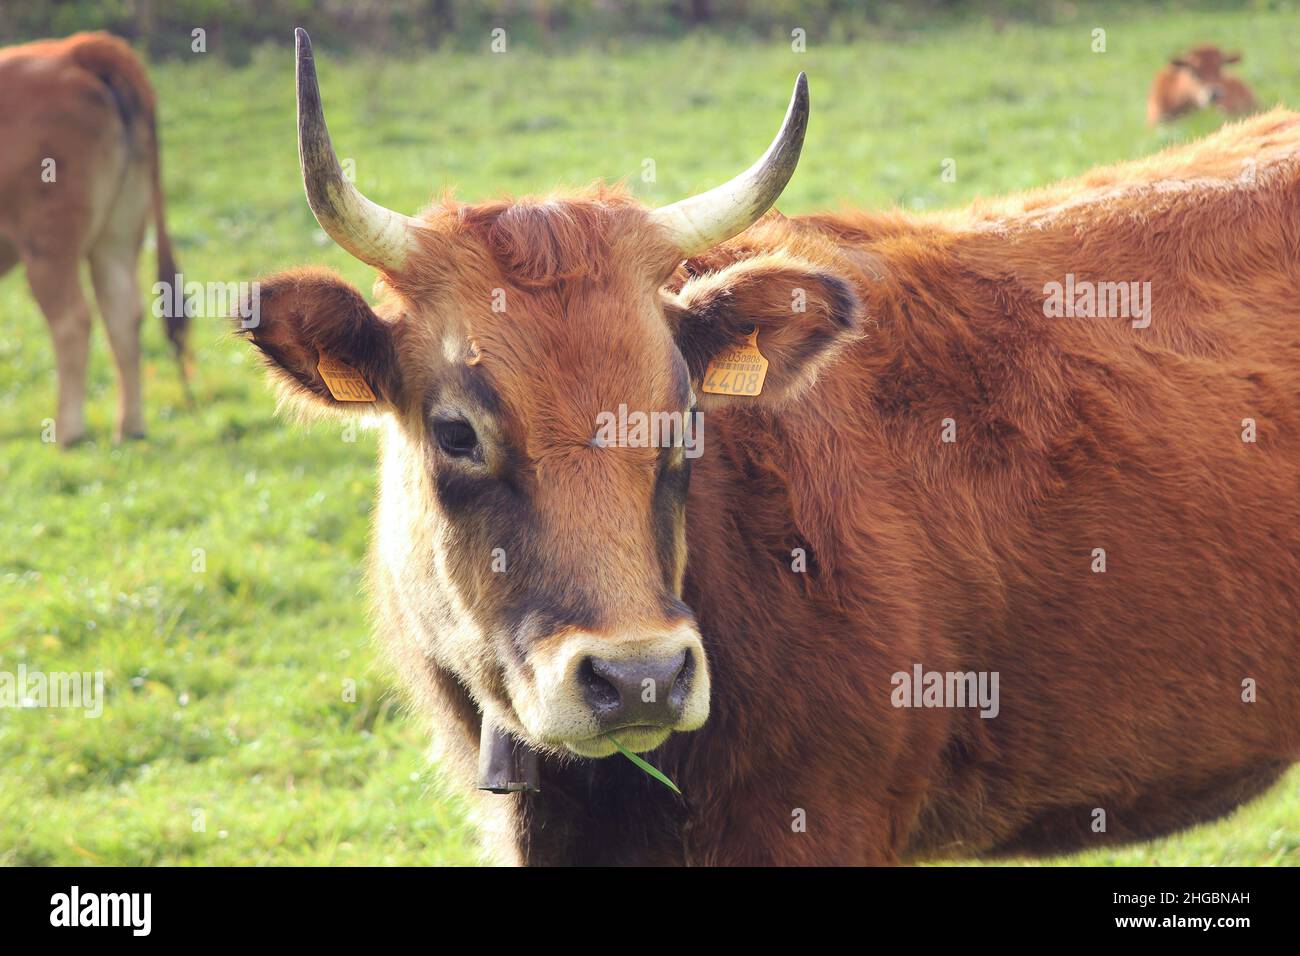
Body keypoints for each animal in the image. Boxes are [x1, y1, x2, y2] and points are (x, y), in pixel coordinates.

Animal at [0, 32, 189, 445]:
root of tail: (75, 50)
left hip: (48, 247)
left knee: (73, 321)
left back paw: (69, 431)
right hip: (116, 237)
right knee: (123, 315)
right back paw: (130, 428)